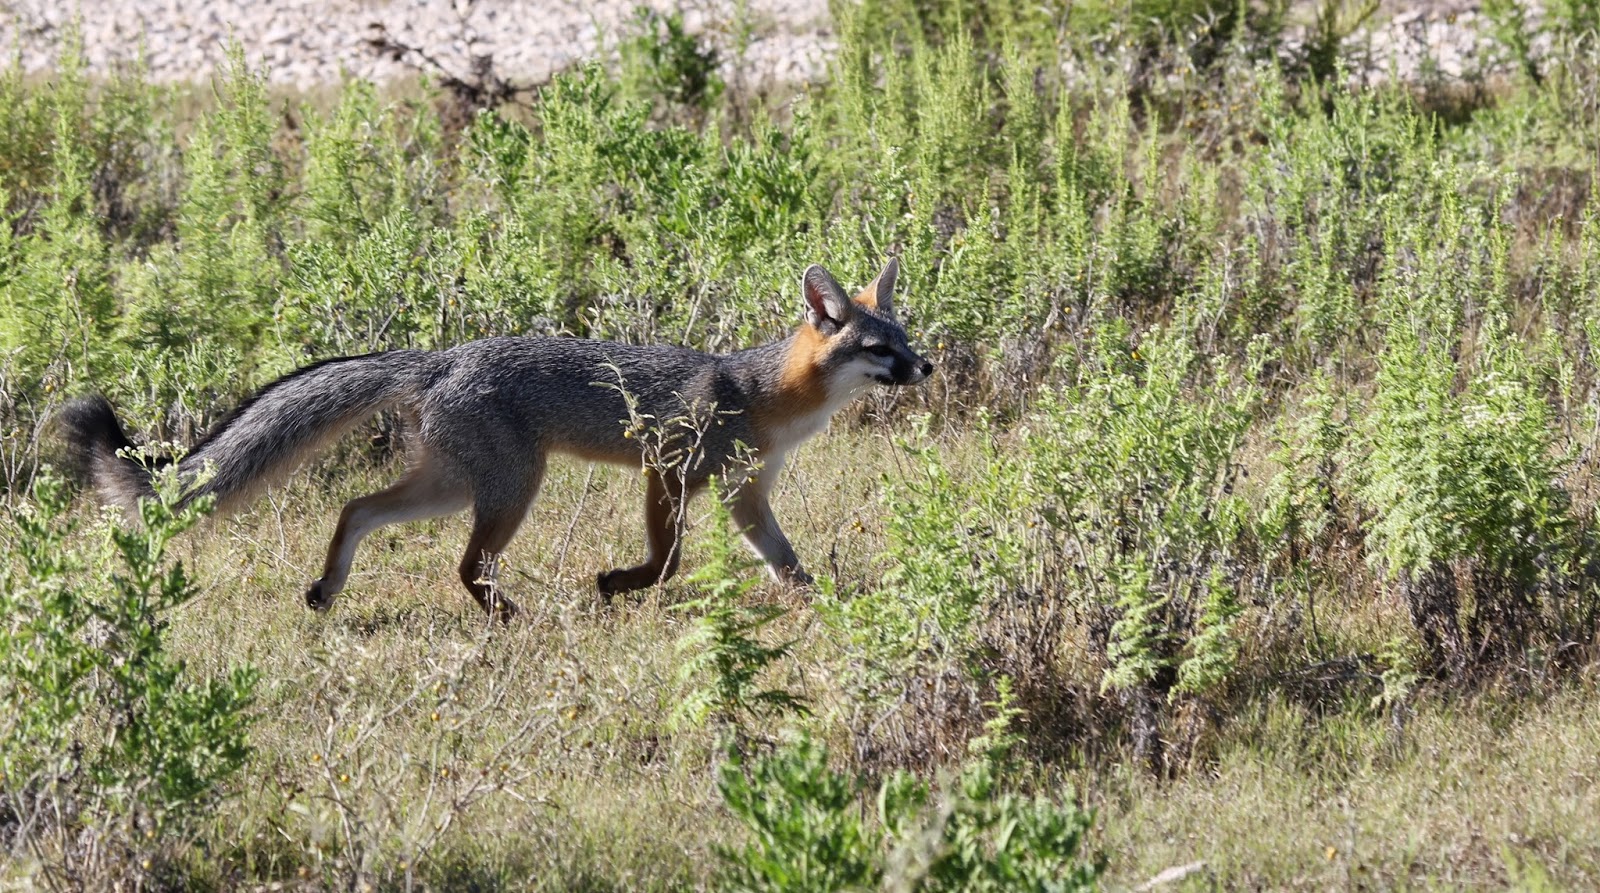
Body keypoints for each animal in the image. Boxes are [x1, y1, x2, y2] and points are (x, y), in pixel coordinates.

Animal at [59, 259, 933, 619]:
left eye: (905, 337)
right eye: (879, 348)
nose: (926, 365)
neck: (764, 396)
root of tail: (440, 355)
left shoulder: (746, 492)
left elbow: (789, 561)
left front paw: (822, 605)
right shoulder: (668, 471)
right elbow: (667, 560)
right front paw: (617, 583)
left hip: (453, 488)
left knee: (354, 507)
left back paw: (328, 590)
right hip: (510, 492)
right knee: (463, 566)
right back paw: (513, 615)